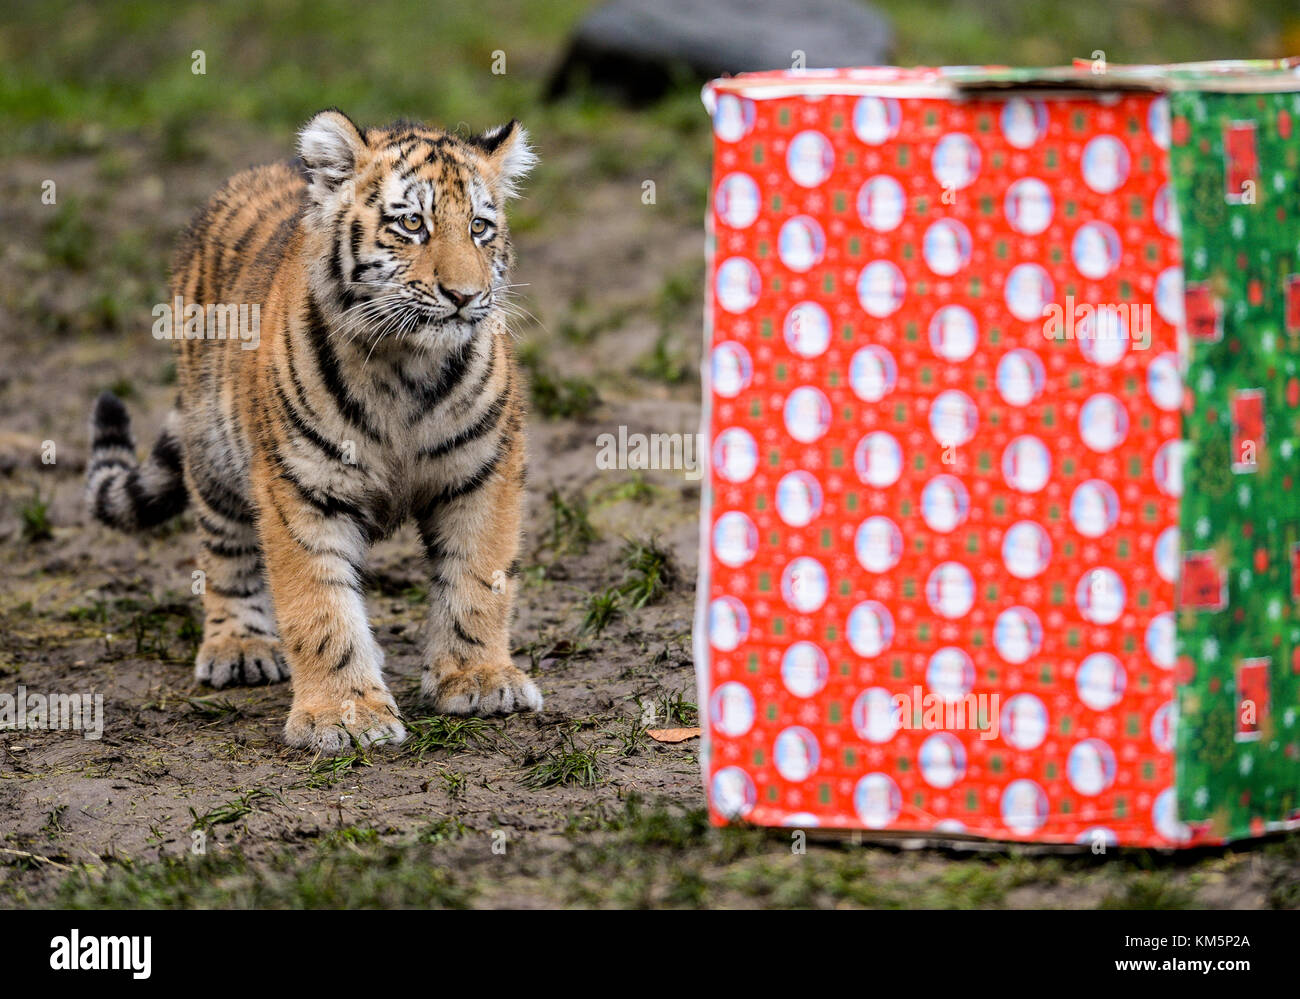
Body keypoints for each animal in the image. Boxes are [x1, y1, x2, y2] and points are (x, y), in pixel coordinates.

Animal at [84, 108, 541, 752]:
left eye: (479, 227)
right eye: (412, 223)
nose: (465, 295)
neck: (405, 366)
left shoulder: (484, 473)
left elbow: (478, 579)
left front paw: (477, 679)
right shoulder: (302, 489)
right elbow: (320, 606)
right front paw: (344, 715)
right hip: (212, 454)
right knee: (224, 553)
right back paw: (240, 648)